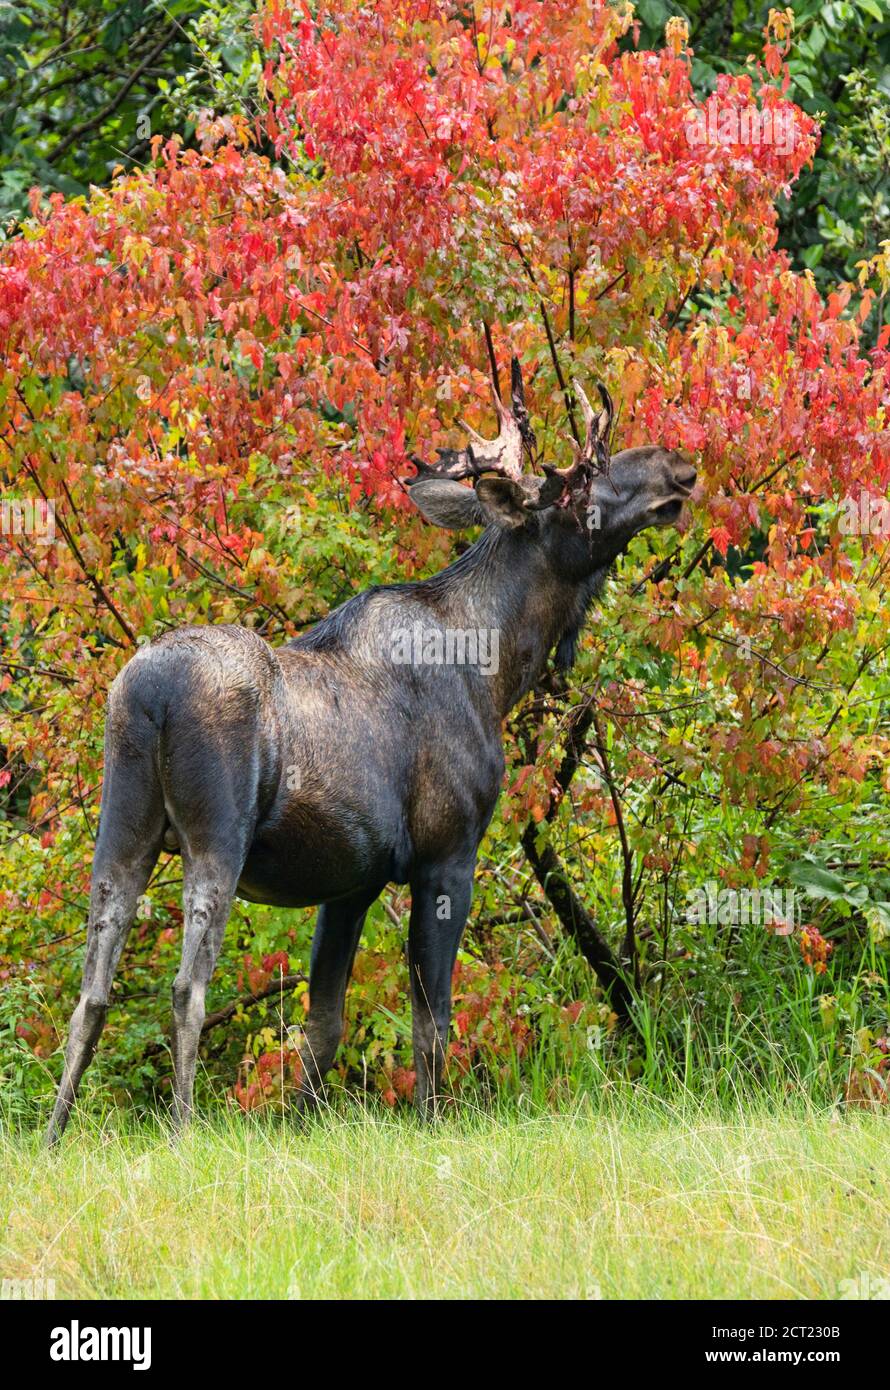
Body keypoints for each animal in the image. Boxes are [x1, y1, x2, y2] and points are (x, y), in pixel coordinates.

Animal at [46, 357, 696, 1144]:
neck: (499, 669)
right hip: (215, 837)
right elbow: (432, 1024)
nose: (677, 467)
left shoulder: (350, 881)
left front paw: (300, 1126)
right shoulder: (447, 856)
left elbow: (322, 1027)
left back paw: (53, 1137)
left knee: (92, 993)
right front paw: (434, 1121)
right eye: (581, 486)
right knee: (185, 987)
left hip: (123, 830)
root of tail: (150, 697)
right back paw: (180, 1130)